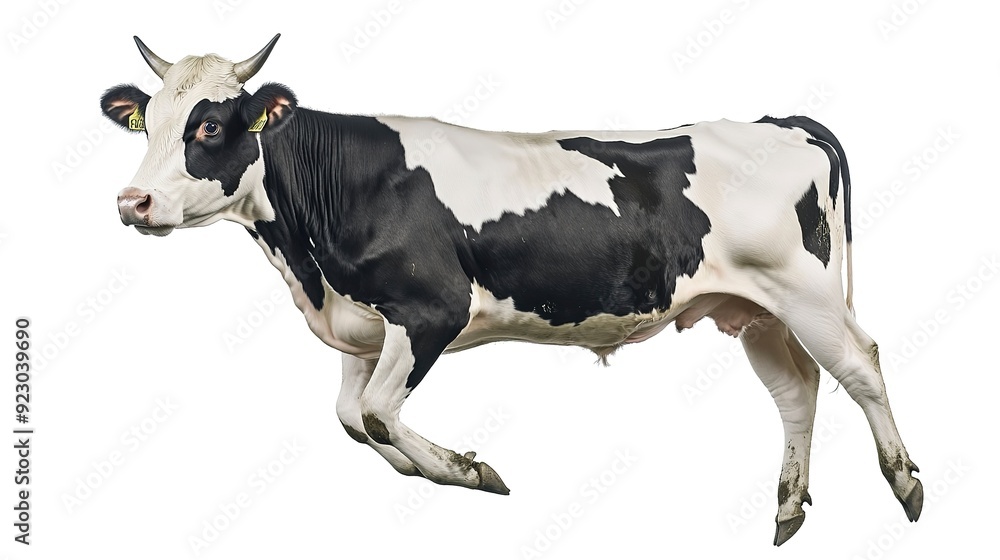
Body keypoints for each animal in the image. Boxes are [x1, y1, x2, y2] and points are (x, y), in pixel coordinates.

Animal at [100, 34, 922, 545]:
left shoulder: (431, 311)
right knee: (796, 389)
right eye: (149, 122)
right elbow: (351, 417)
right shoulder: (361, 326)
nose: (133, 202)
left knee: (862, 366)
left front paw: (469, 471)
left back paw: (906, 483)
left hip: (807, 293)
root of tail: (780, 120)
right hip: (755, 310)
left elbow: (375, 413)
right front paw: (426, 465)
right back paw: (787, 508)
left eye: (209, 126)